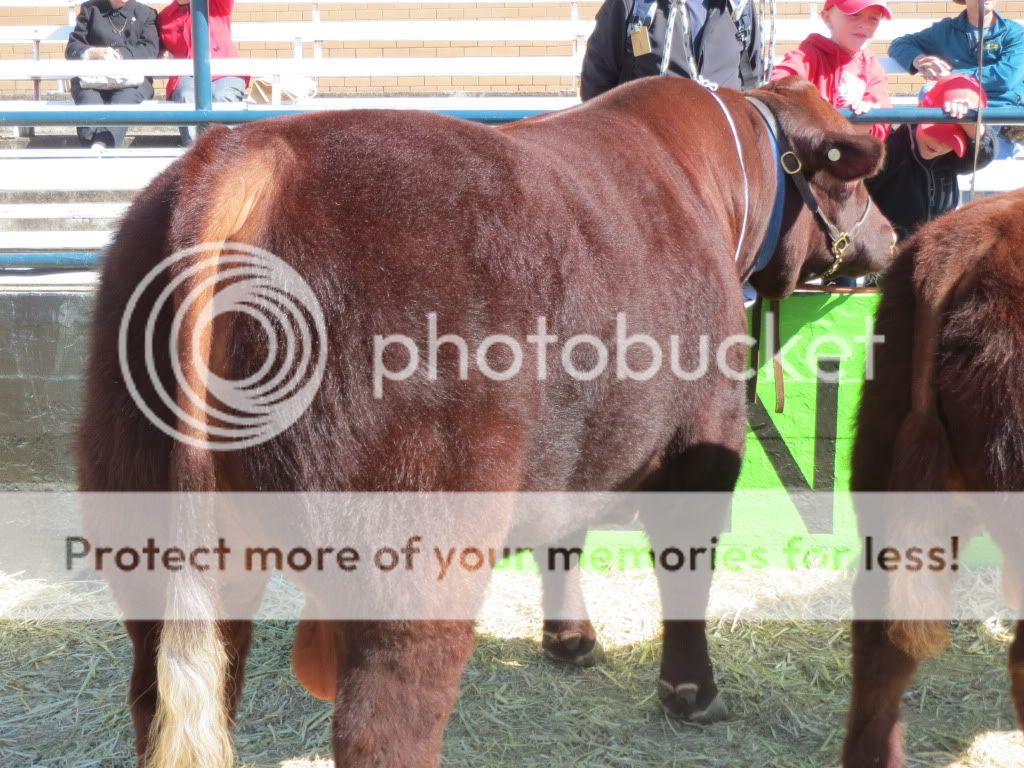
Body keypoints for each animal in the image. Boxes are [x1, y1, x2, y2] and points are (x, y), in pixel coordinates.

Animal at [77, 75, 895, 768]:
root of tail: (249, 154)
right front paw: (691, 691)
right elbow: (685, 568)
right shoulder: (705, 438)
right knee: (383, 724)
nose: (889, 238)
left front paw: (570, 640)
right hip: (413, 538)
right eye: (852, 179)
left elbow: (564, 538)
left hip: (148, 521)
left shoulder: (576, 445)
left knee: (165, 693)